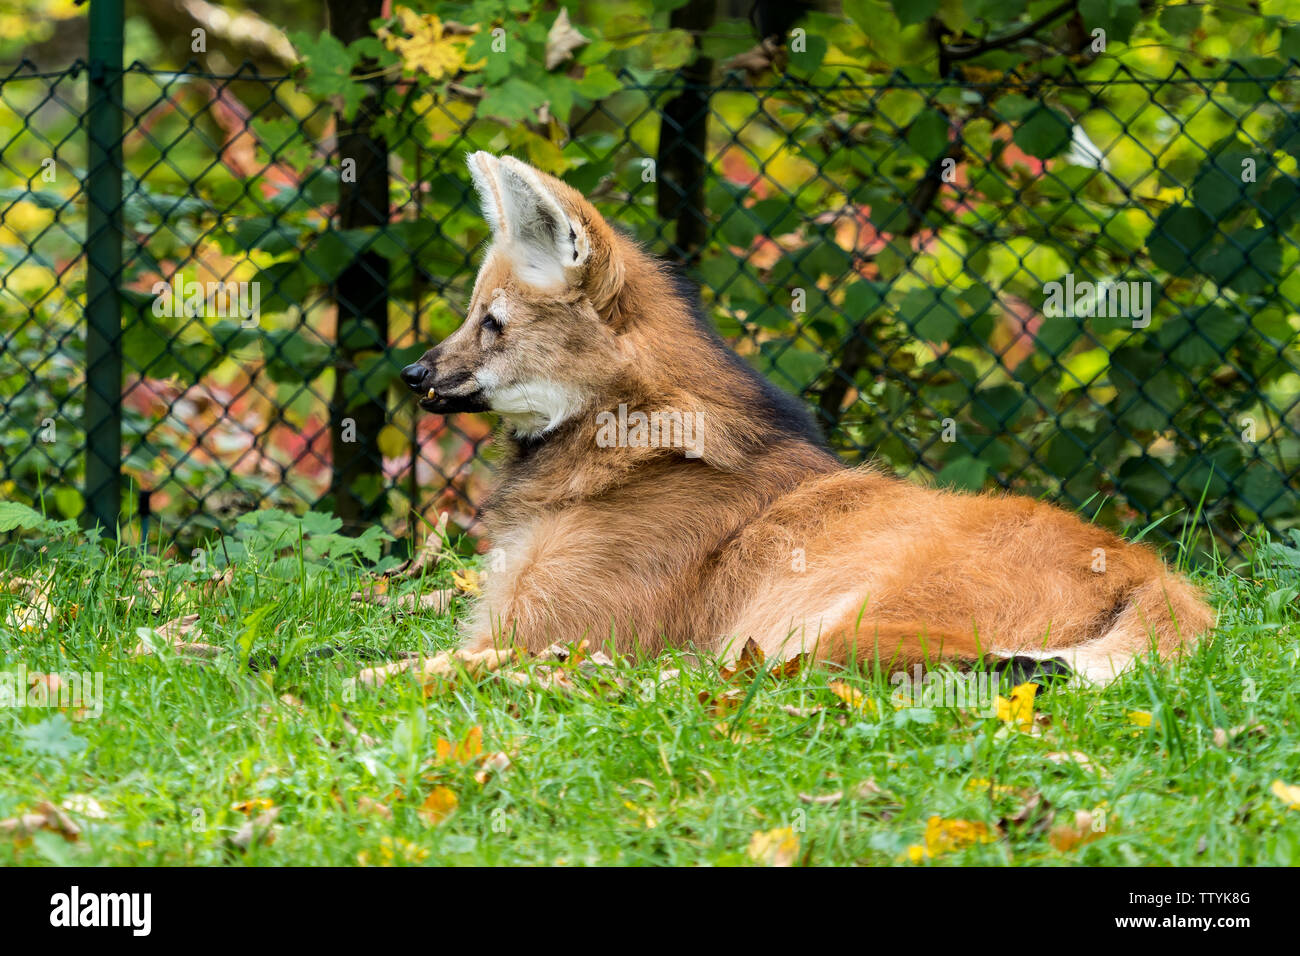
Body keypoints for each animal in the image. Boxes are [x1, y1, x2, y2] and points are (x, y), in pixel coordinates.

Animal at [397, 152, 1214, 684]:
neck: (628, 444)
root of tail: (1151, 571)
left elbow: (421, 663)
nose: (413, 375)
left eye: (492, 324)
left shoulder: (559, 630)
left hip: (838, 627)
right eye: (472, 314)